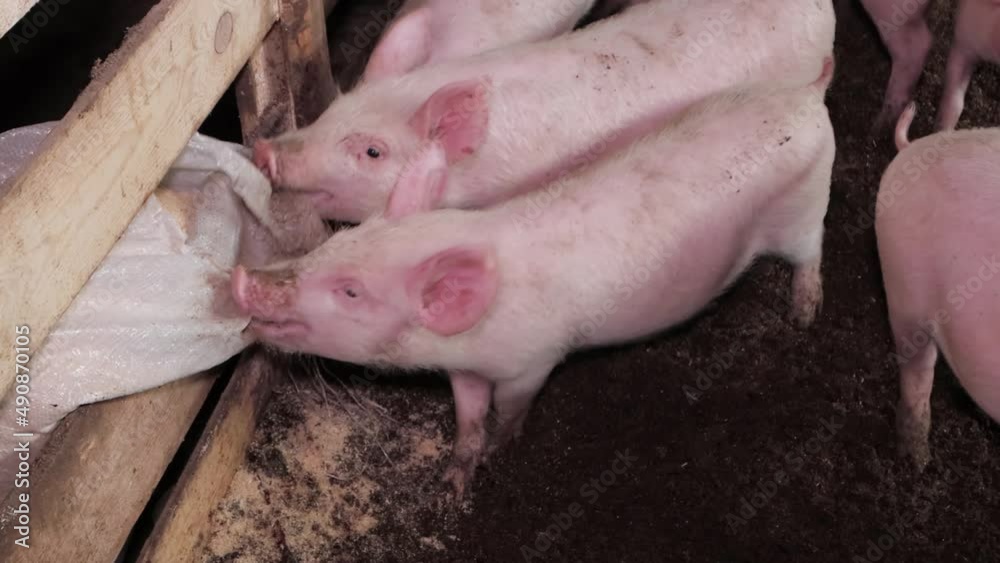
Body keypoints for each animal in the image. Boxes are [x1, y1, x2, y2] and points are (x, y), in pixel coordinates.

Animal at [232, 65, 836, 496]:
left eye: (351, 291)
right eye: (331, 246)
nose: (241, 279)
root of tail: (807, 96)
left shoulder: (534, 359)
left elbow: (510, 409)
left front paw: (501, 450)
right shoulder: (464, 367)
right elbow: (468, 416)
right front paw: (453, 482)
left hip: (805, 206)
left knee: (811, 253)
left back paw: (803, 316)